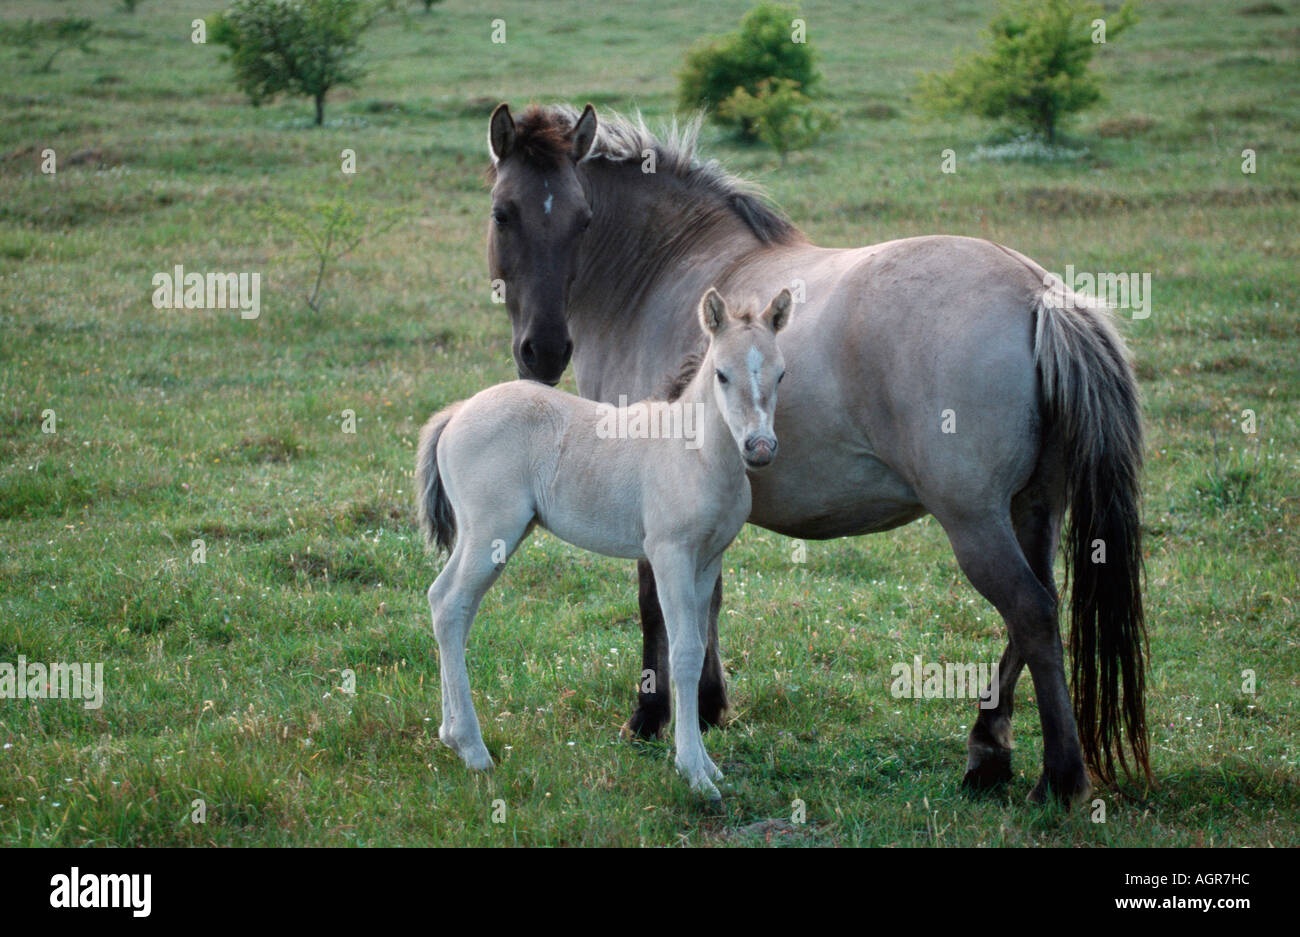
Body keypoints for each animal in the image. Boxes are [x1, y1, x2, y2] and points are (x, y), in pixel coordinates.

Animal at [416, 287, 792, 799]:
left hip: (488, 535)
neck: (695, 453)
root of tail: (457, 413)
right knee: (451, 604)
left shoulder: (707, 559)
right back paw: (474, 750)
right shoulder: (670, 554)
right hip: (491, 530)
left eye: (780, 373)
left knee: (447, 602)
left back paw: (451, 736)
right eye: (722, 373)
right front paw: (694, 773)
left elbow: (699, 644)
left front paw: (708, 766)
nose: (760, 447)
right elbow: (684, 653)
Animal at [480, 102, 1151, 806]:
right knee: (1038, 613)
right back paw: (987, 750)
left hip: (975, 521)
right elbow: (706, 602)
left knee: (1032, 615)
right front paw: (709, 706)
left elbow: (657, 607)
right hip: (1033, 510)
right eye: (505, 213)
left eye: (582, 219)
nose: (545, 351)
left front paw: (650, 715)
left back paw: (1059, 776)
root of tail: (1039, 295)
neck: (670, 274)